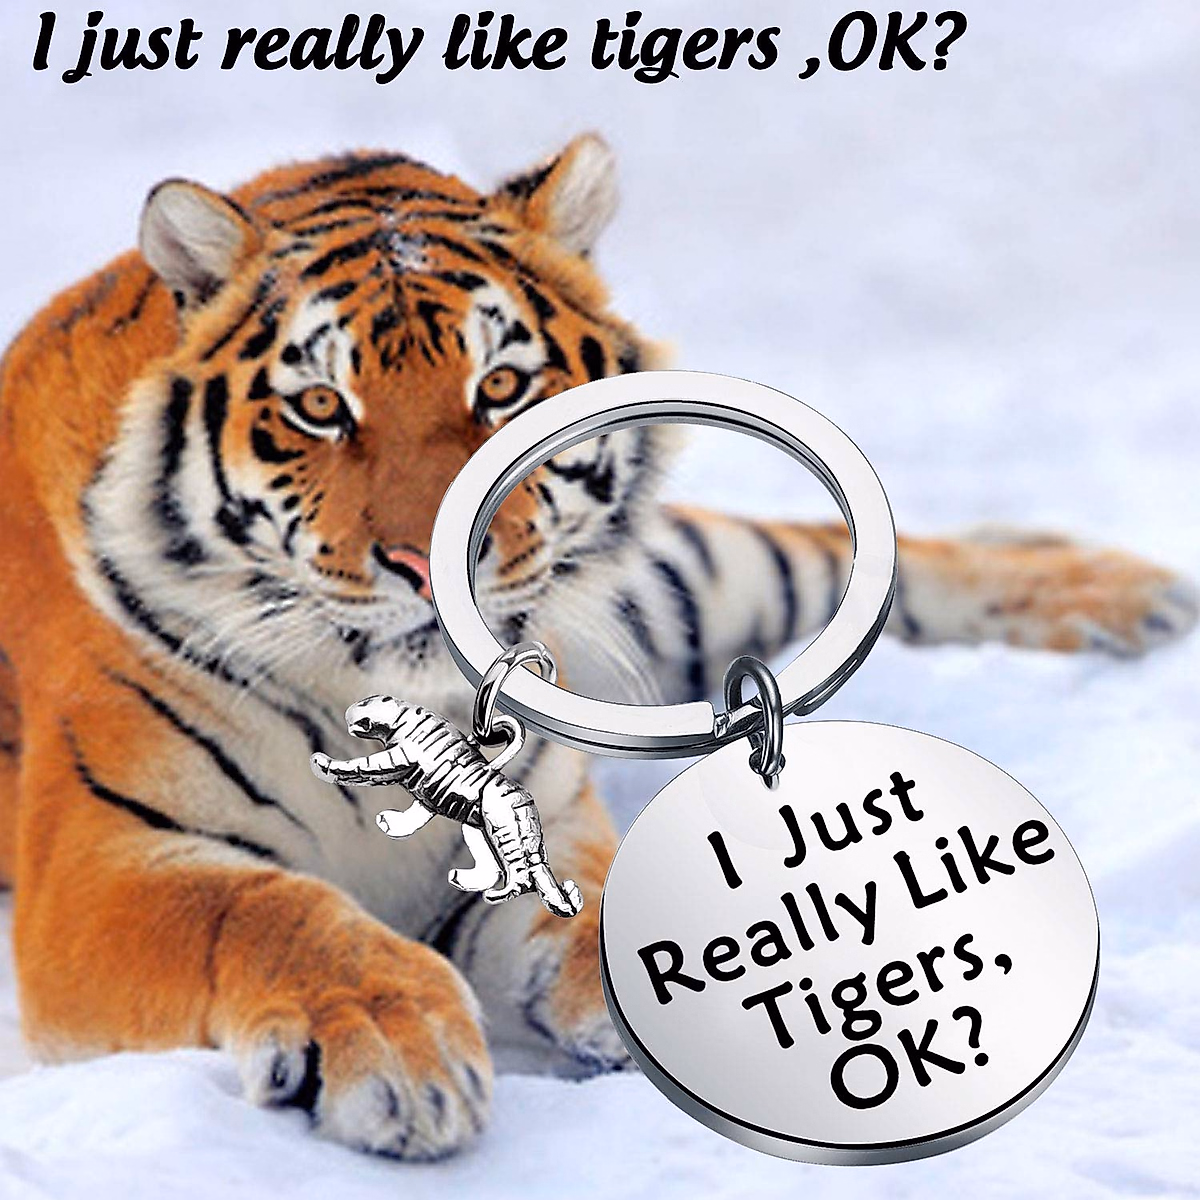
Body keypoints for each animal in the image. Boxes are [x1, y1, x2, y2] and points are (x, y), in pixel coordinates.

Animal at [0, 133, 1193, 1161]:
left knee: (833, 554)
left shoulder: (549, 809)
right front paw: (395, 1044)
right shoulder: (98, 868)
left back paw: (1122, 592)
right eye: (320, 407)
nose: (432, 564)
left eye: (500, 386)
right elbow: (269, 909)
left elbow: (602, 903)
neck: (373, 699)